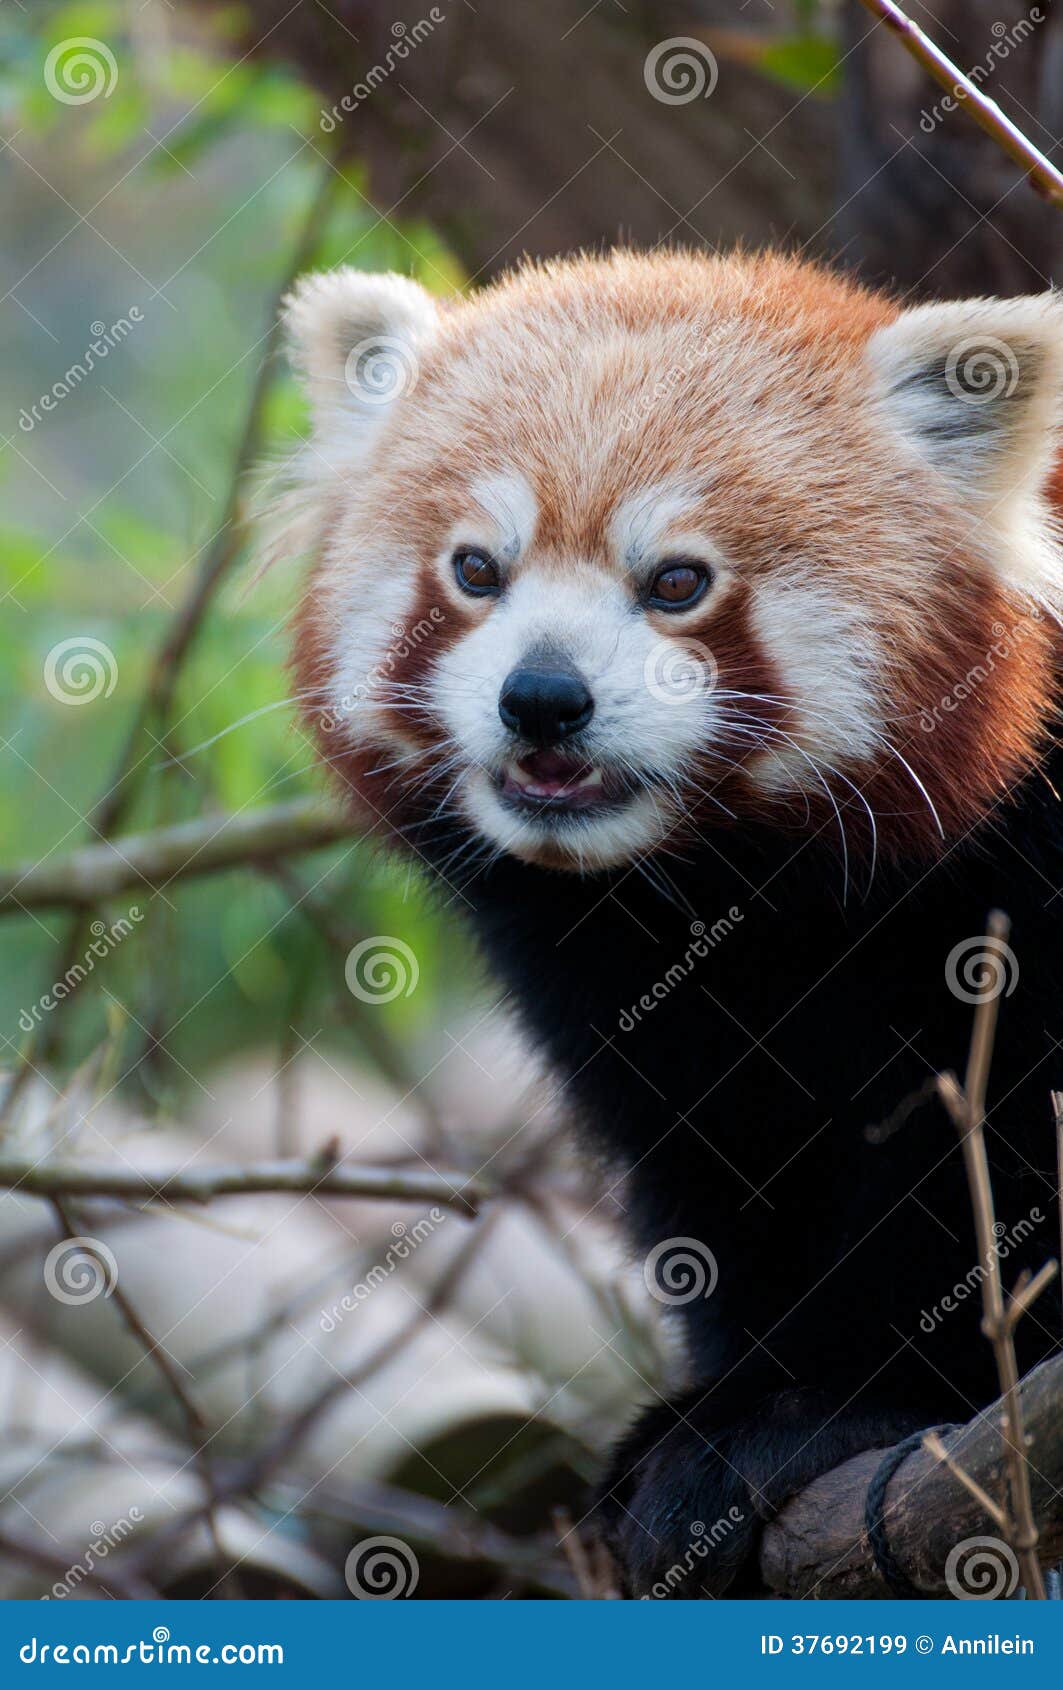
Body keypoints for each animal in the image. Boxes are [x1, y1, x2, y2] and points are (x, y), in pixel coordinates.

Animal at [271, 249, 1063, 1596]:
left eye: (678, 582)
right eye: (475, 570)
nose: (541, 698)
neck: (735, 895)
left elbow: (992, 1175)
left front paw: (816, 1408)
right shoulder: (630, 999)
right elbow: (716, 1172)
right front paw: (713, 1408)